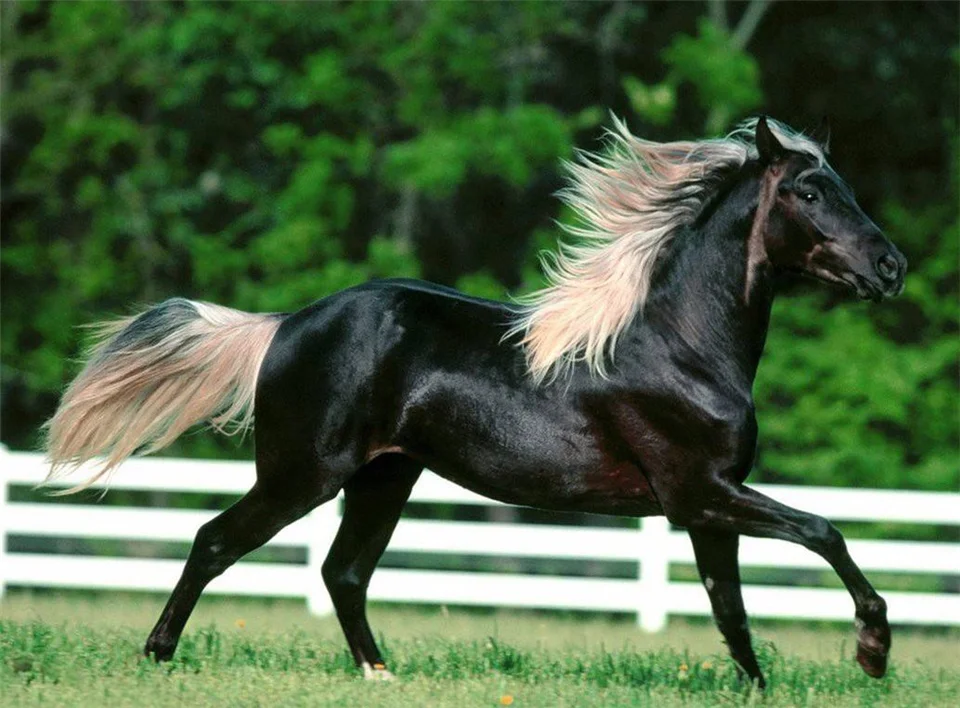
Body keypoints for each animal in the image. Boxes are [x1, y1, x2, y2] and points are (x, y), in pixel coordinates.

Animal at [44, 117, 906, 688]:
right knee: (216, 541)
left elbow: (730, 608)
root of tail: (284, 325)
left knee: (342, 572)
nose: (891, 268)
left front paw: (759, 688)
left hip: (384, 477)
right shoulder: (701, 492)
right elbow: (823, 532)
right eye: (810, 190)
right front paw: (873, 652)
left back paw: (381, 675)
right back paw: (158, 656)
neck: (681, 345)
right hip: (303, 475)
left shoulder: (706, 503)